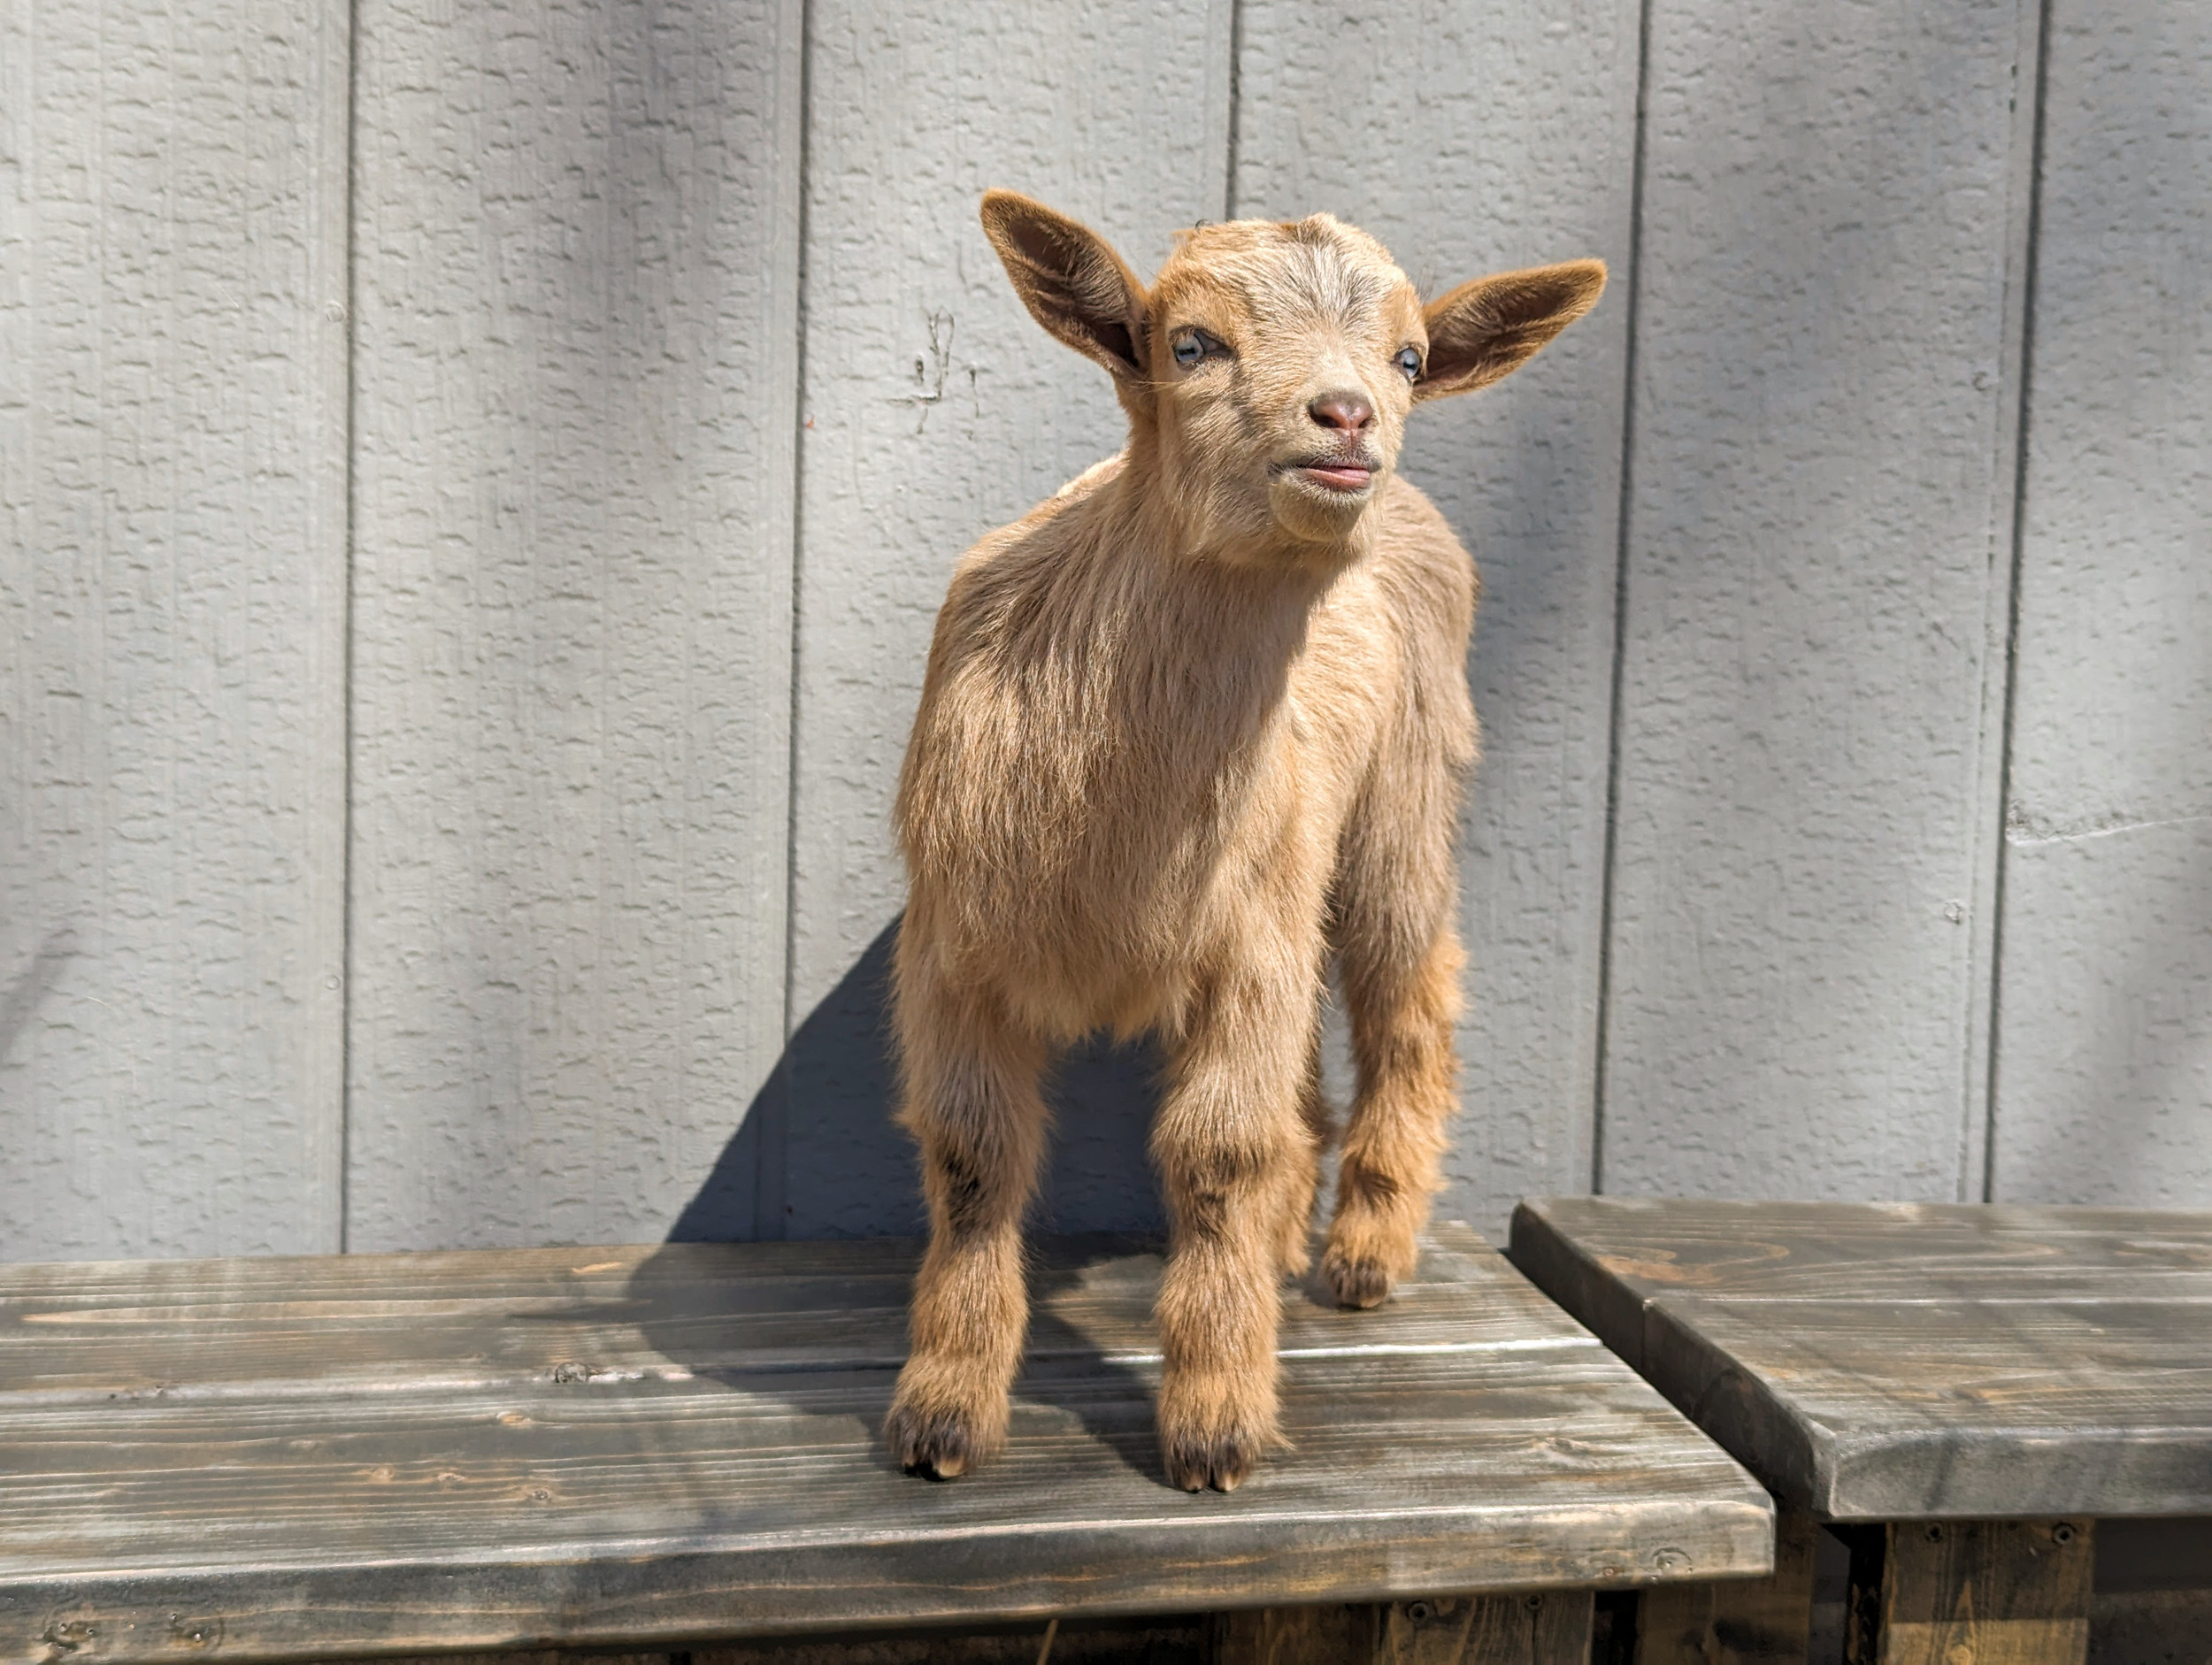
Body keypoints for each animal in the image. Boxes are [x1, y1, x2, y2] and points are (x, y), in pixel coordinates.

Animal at [884, 190, 1604, 1492]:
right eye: (1191, 344)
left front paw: (1214, 1424)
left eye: (1410, 357)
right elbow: (973, 1159)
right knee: (1306, 1080)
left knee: (1409, 1000)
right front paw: (942, 1415)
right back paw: (1286, 1244)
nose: (1347, 416)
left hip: (1402, 807)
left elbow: (1215, 1153)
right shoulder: (953, 948)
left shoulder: (1243, 948)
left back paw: (1363, 1251)